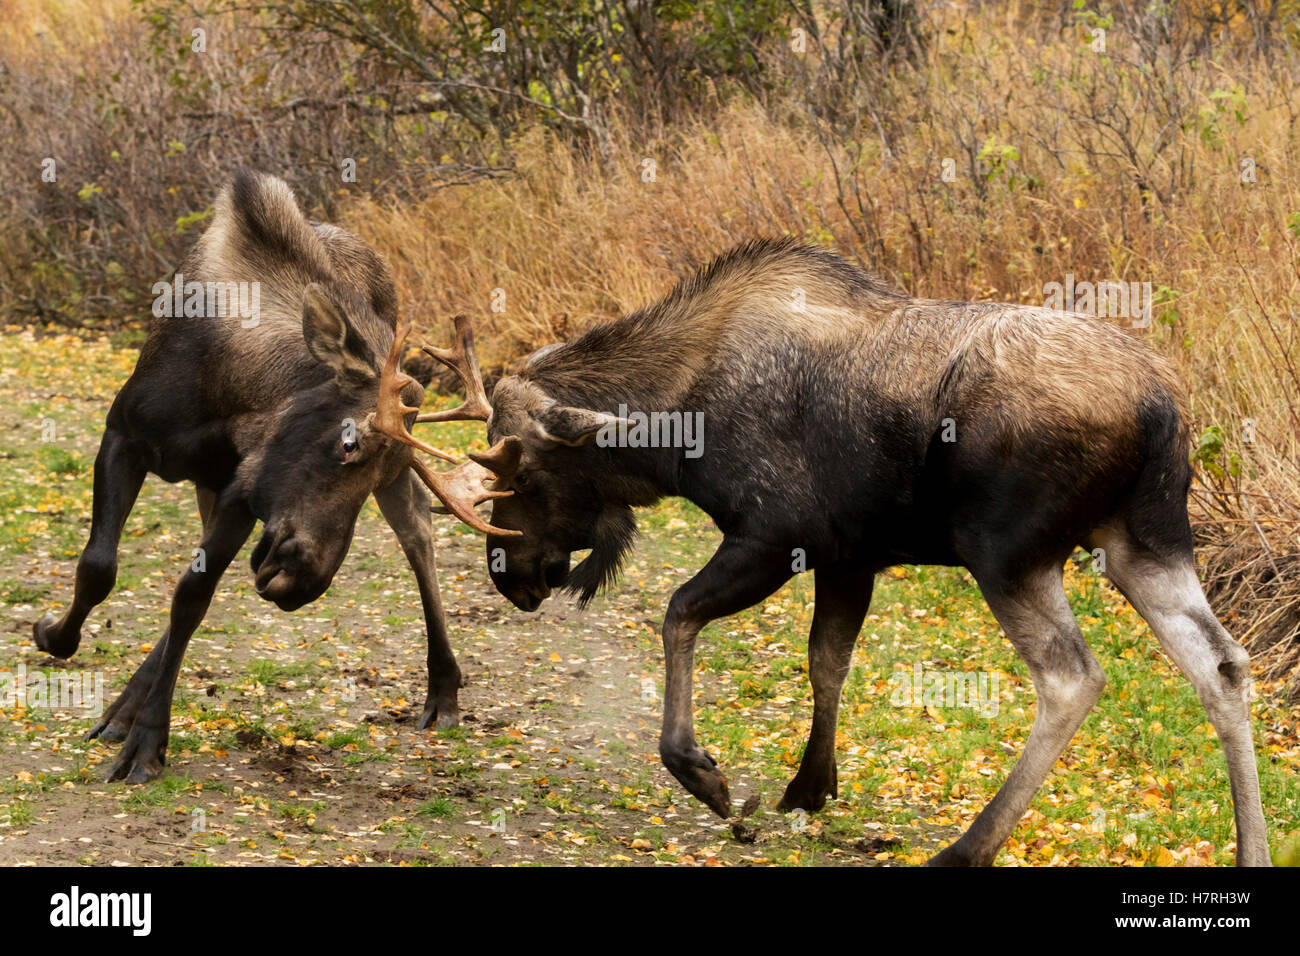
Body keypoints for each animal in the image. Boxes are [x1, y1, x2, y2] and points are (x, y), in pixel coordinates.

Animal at [31, 168, 518, 784]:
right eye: (348, 441)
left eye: (370, 471)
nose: (302, 580)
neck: (229, 397)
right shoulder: (126, 435)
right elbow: (99, 567)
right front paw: (55, 635)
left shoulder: (242, 490)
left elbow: (190, 597)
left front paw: (148, 742)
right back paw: (120, 707)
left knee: (418, 536)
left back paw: (443, 690)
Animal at [458, 237, 1271, 866]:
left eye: (522, 470)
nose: (510, 576)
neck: (671, 431)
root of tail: (1162, 408)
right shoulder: (848, 557)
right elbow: (827, 659)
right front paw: (811, 786)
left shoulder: (772, 535)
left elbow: (679, 615)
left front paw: (711, 780)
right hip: (1143, 539)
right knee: (1221, 663)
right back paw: (1251, 848)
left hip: (1008, 551)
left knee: (1072, 675)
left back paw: (966, 848)